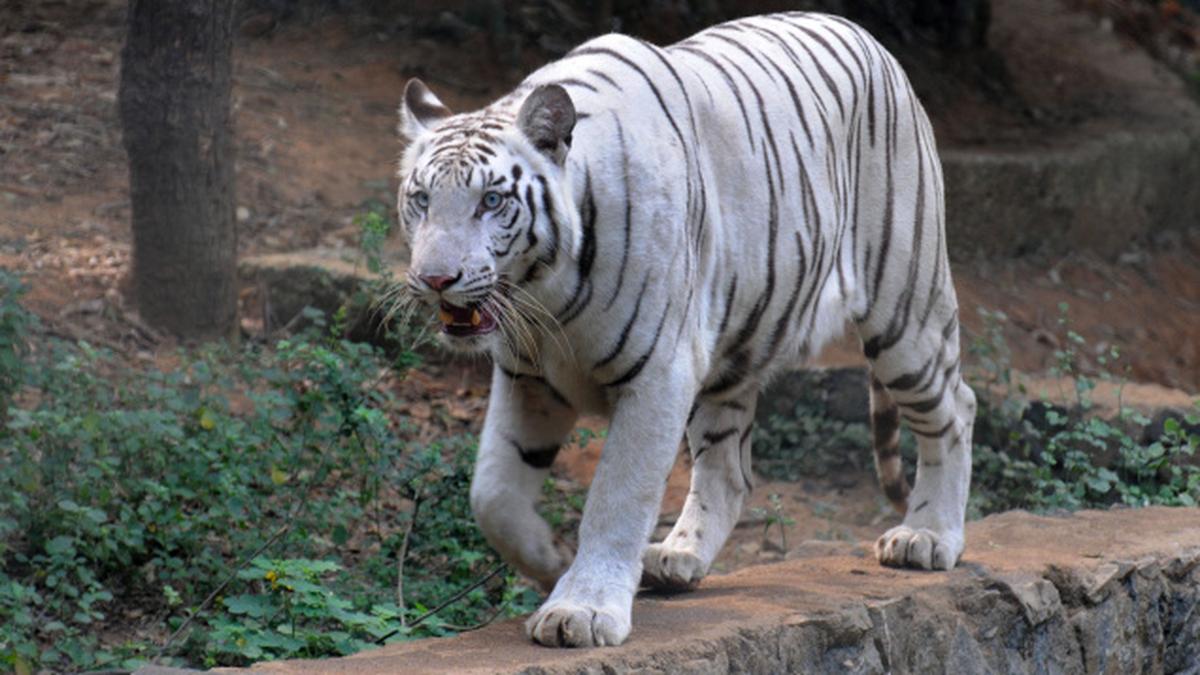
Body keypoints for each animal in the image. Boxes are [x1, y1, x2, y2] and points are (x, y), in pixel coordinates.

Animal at [387, 11, 977, 648]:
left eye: (492, 201)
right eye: (422, 199)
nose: (435, 279)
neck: (543, 297)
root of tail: (864, 35)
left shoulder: (658, 373)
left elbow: (618, 495)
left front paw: (582, 609)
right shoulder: (529, 379)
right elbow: (493, 494)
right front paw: (548, 560)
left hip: (905, 312)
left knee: (955, 408)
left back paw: (928, 536)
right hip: (732, 347)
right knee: (731, 468)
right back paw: (677, 558)